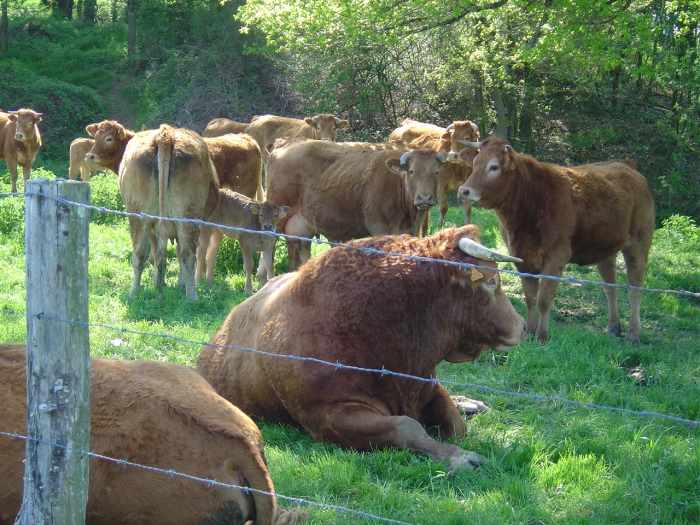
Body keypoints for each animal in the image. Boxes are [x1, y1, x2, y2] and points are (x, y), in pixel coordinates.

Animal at [119, 124, 219, 300]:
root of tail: (165, 135)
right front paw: (177, 284)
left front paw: (159, 282)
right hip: (187, 217)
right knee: (187, 254)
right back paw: (192, 297)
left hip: (138, 216)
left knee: (139, 253)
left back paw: (134, 294)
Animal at [198, 226, 524, 471]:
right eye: (491, 281)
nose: (521, 326)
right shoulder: (331, 415)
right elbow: (407, 426)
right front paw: (460, 457)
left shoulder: (426, 384)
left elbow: (455, 424)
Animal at [266, 139, 446, 269]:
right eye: (411, 171)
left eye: (436, 172)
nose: (424, 198)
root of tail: (283, 147)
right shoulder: (380, 230)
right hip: (276, 218)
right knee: (270, 249)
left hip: (301, 228)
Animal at [458, 136, 655, 343]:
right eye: (474, 163)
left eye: (494, 167)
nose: (464, 190)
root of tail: (625, 165)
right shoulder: (521, 257)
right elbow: (530, 297)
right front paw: (529, 332)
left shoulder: (556, 256)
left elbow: (544, 299)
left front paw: (542, 336)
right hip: (605, 249)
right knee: (610, 286)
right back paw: (613, 327)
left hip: (639, 243)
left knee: (635, 286)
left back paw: (633, 333)